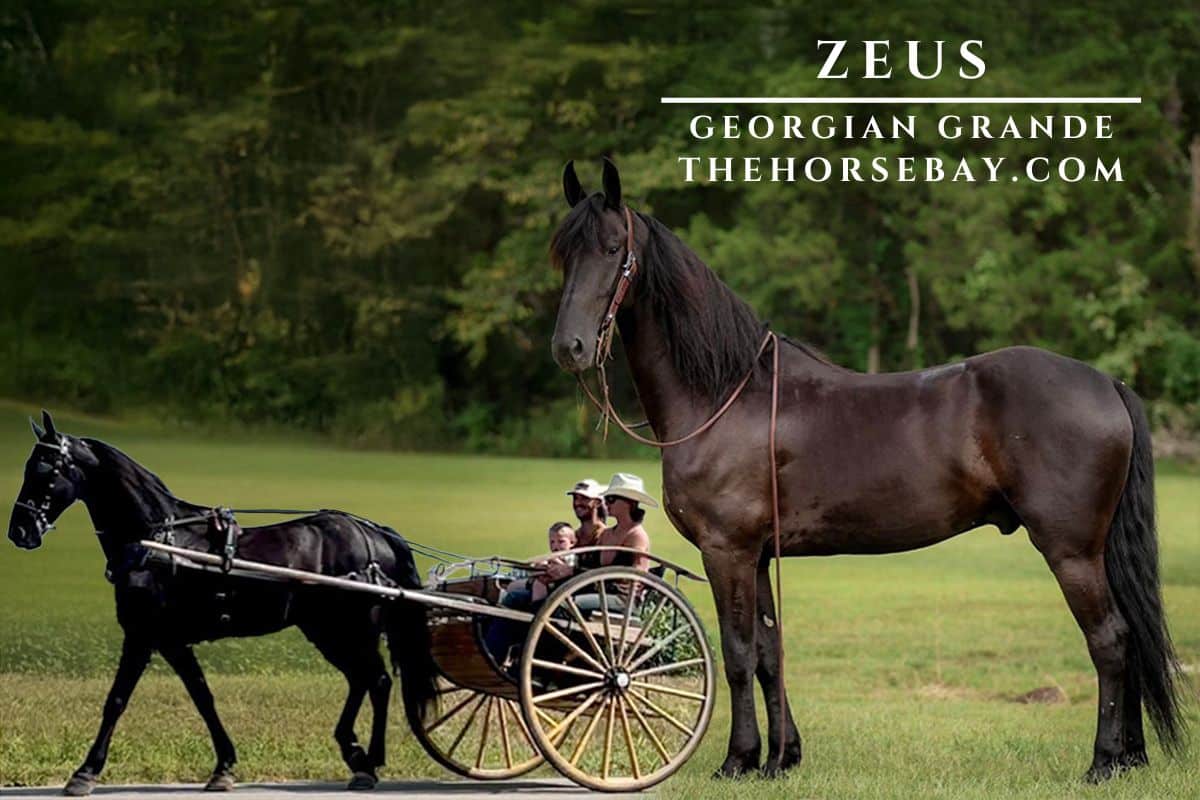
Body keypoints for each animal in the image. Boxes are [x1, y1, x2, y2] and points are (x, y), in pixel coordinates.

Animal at [7, 411, 438, 795]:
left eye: (43, 470)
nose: (19, 531)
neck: (159, 540)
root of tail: (374, 532)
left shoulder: (142, 636)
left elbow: (116, 700)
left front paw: (85, 772)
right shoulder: (171, 641)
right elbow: (203, 697)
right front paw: (224, 766)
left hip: (351, 629)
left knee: (377, 681)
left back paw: (369, 761)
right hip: (325, 630)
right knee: (362, 680)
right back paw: (355, 751)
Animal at [548, 158, 1186, 782]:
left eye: (612, 249)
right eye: (563, 253)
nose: (569, 348)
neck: (724, 395)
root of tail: (1106, 381)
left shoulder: (725, 551)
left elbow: (736, 655)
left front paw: (738, 759)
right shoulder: (757, 556)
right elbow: (768, 653)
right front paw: (781, 758)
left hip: (1071, 550)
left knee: (1109, 639)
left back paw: (1103, 762)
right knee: (1129, 637)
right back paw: (1130, 757)